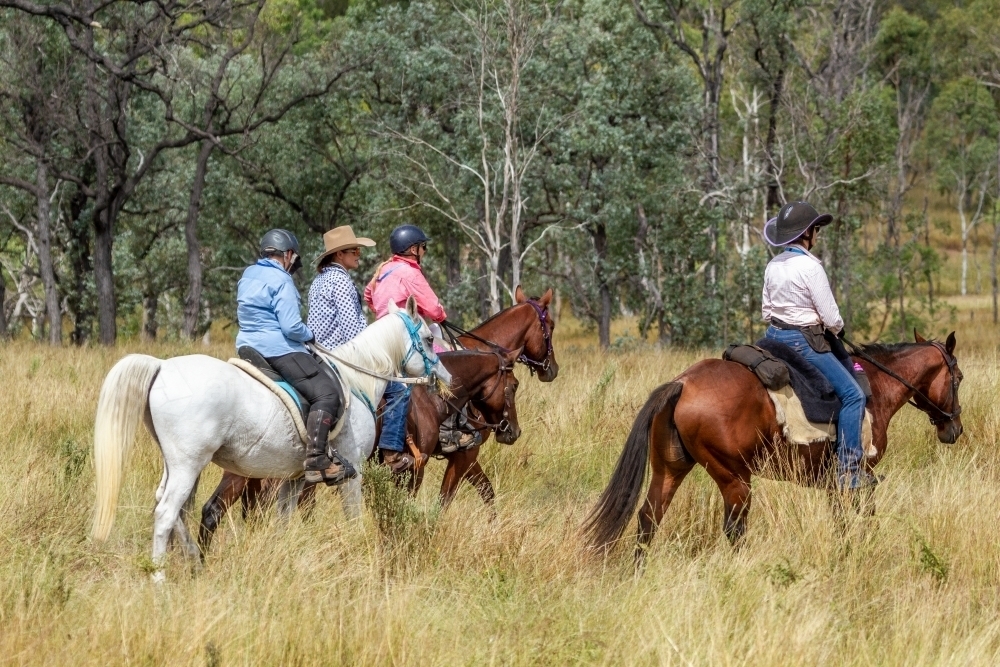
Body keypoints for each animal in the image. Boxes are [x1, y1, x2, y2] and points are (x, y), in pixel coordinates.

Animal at [91, 298, 450, 576]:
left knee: (172, 508)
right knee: (166, 512)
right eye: (428, 339)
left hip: (176, 463)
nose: (444, 377)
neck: (356, 379)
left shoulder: (293, 479)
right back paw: (159, 578)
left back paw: (195, 562)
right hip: (189, 463)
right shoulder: (354, 473)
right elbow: (353, 518)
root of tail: (162, 366)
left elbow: (284, 521)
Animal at [196, 347, 523, 551]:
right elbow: (433, 501)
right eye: (515, 384)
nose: (513, 432)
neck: (429, 400)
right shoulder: (419, 467)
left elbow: (483, 491)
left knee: (222, 510)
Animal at [583, 331, 964, 560]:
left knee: (649, 518)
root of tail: (683, 383)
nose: (954, 428)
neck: (877, 387)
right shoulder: (859, 475)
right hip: (735, 478)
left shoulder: (833, 483)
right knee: (734, 529)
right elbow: (859, 517)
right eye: (958, 379)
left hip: (670, 469)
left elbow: (841, 521)